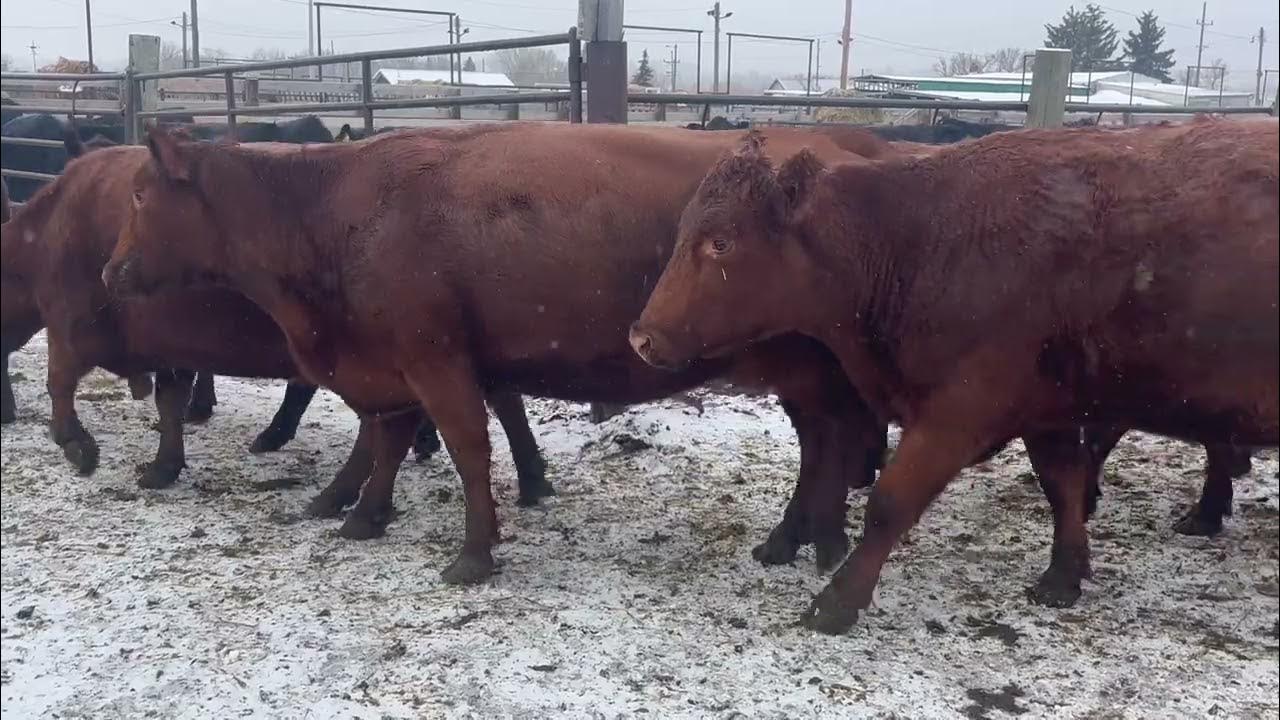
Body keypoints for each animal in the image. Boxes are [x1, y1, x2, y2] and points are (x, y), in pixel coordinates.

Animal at [0, 141, 552, 508]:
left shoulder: (72, 320)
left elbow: (59, 379)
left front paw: (75, 442)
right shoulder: (173, 343)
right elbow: (168, 402)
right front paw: (164, 464)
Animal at [100, 122, 940, 586]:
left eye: (142, 195)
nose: (111, 271)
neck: (337, 211)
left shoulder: (434, 357)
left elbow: (467, 447)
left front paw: (474, 552)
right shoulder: (394, 363)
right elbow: (390, 437)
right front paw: (366, 515)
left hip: (807, 366)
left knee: (835, 442)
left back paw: (820, 540)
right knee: (823, 443)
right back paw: (791, 539)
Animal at [630, 119, 1279, 634]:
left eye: (720, 242)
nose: (642, 336)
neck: (918, 237)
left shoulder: (958, 412)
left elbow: (890, 503)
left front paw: (836, 603)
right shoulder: (1044, 411)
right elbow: (1063, 485)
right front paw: (1063, 577)